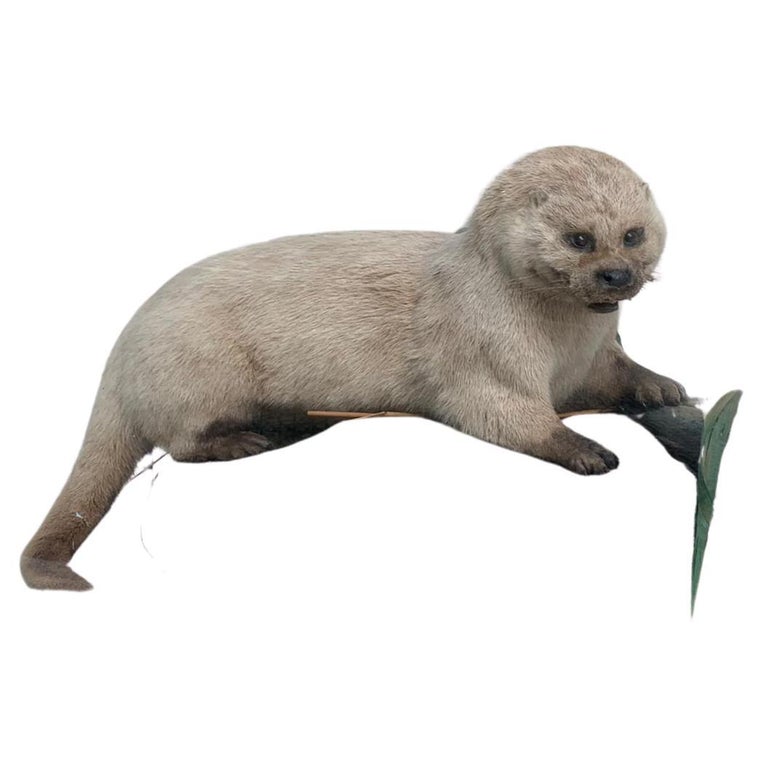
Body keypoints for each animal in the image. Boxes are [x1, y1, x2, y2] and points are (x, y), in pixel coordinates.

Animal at [21, 146, 687, 591]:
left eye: (633, 235)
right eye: (579, 239)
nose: (616, 276)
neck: (562, 347)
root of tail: (118, 355)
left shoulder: (595, 361)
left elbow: (623, 376)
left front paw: (662, 387)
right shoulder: (484, 357)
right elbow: (508, 417)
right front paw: (586, 449)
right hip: (195, 367)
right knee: (182, 442)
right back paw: (244, 439)